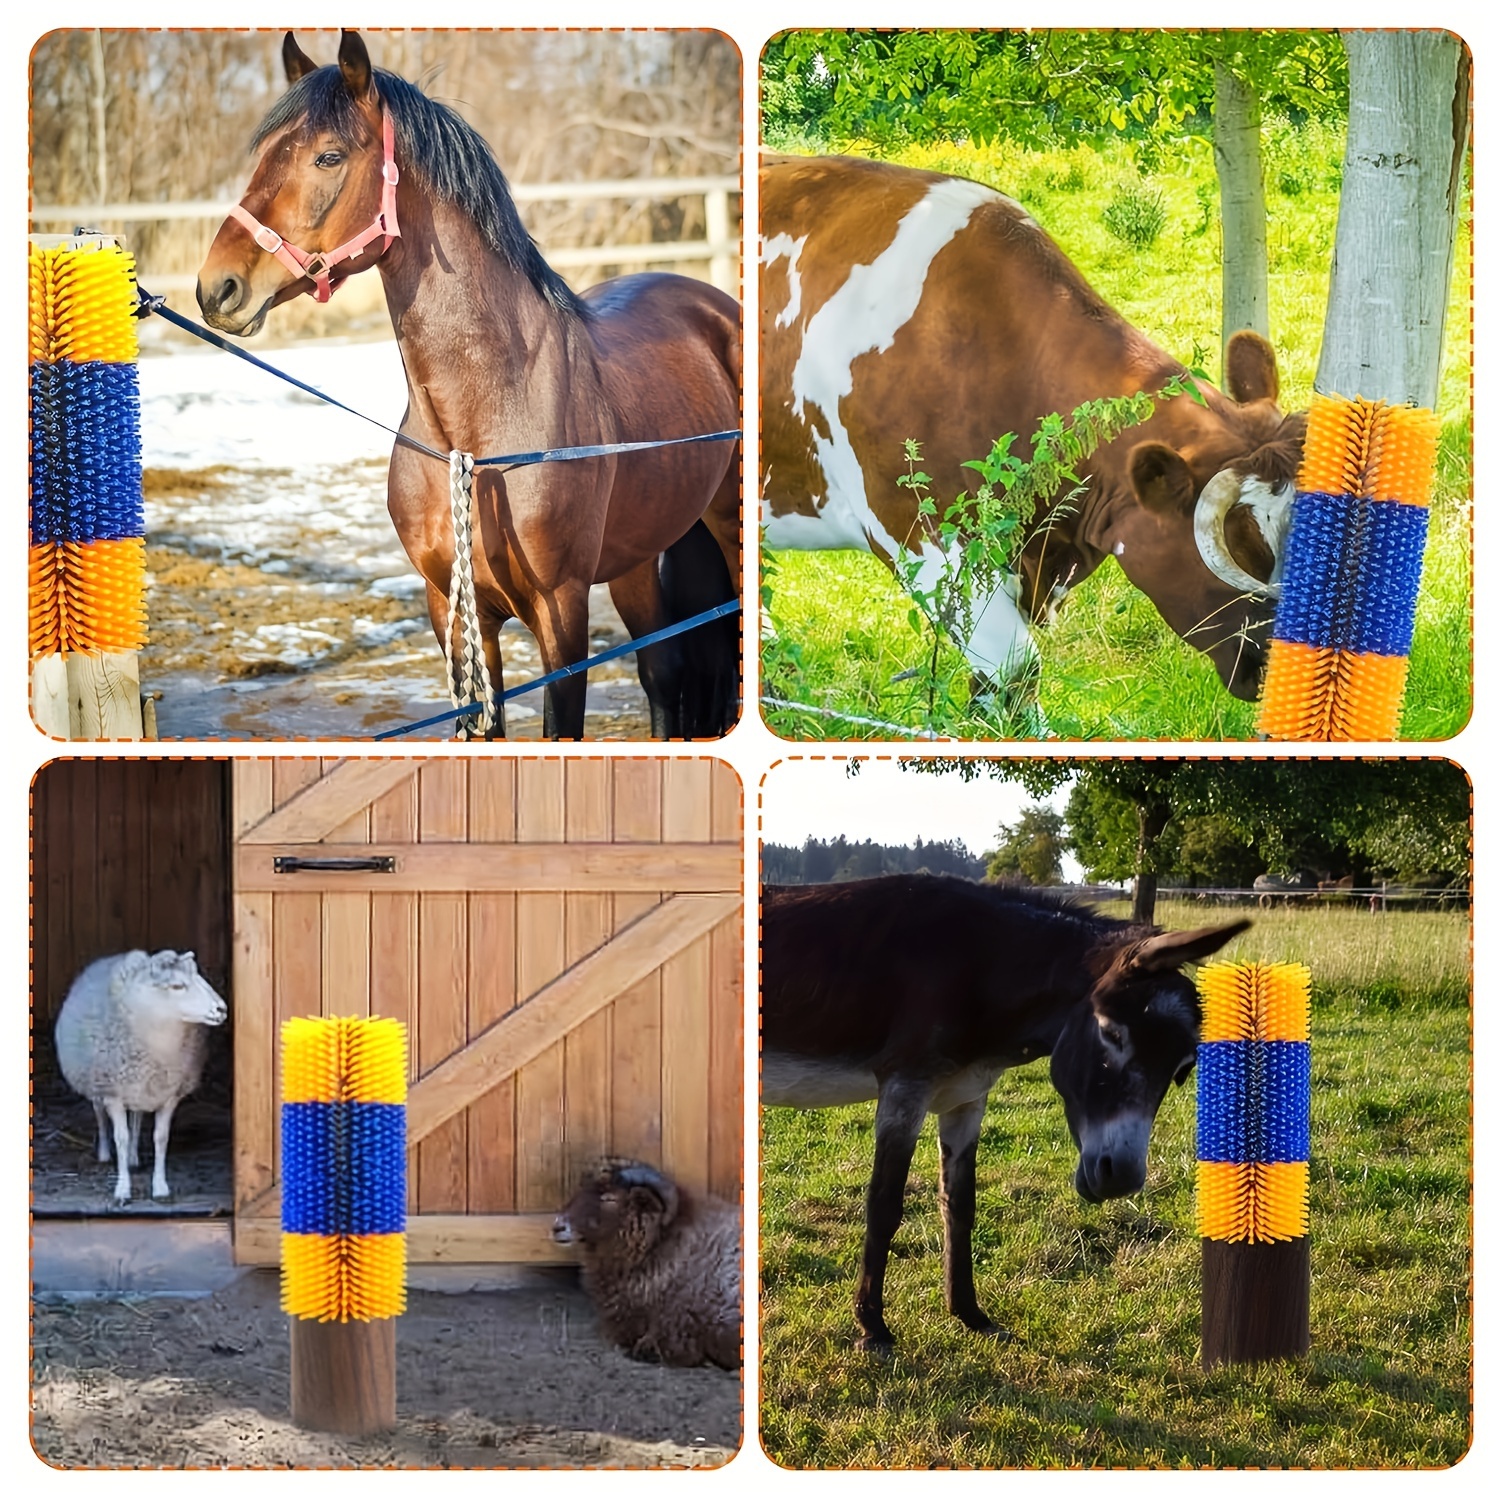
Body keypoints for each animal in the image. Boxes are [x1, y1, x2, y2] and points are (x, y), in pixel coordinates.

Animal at [54, 950, 227, 1202]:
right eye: (177, 986)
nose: (222, 1009)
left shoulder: (169, 1094)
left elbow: (160, 1137)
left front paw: (161, 1187)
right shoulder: (112, 1093)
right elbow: (121, 1137)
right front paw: (122, 1189)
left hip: (141, 1088)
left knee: (136, 1117)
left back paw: (133, 1158)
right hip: (97, 1082)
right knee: (99, 1113)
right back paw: (104, 1153)